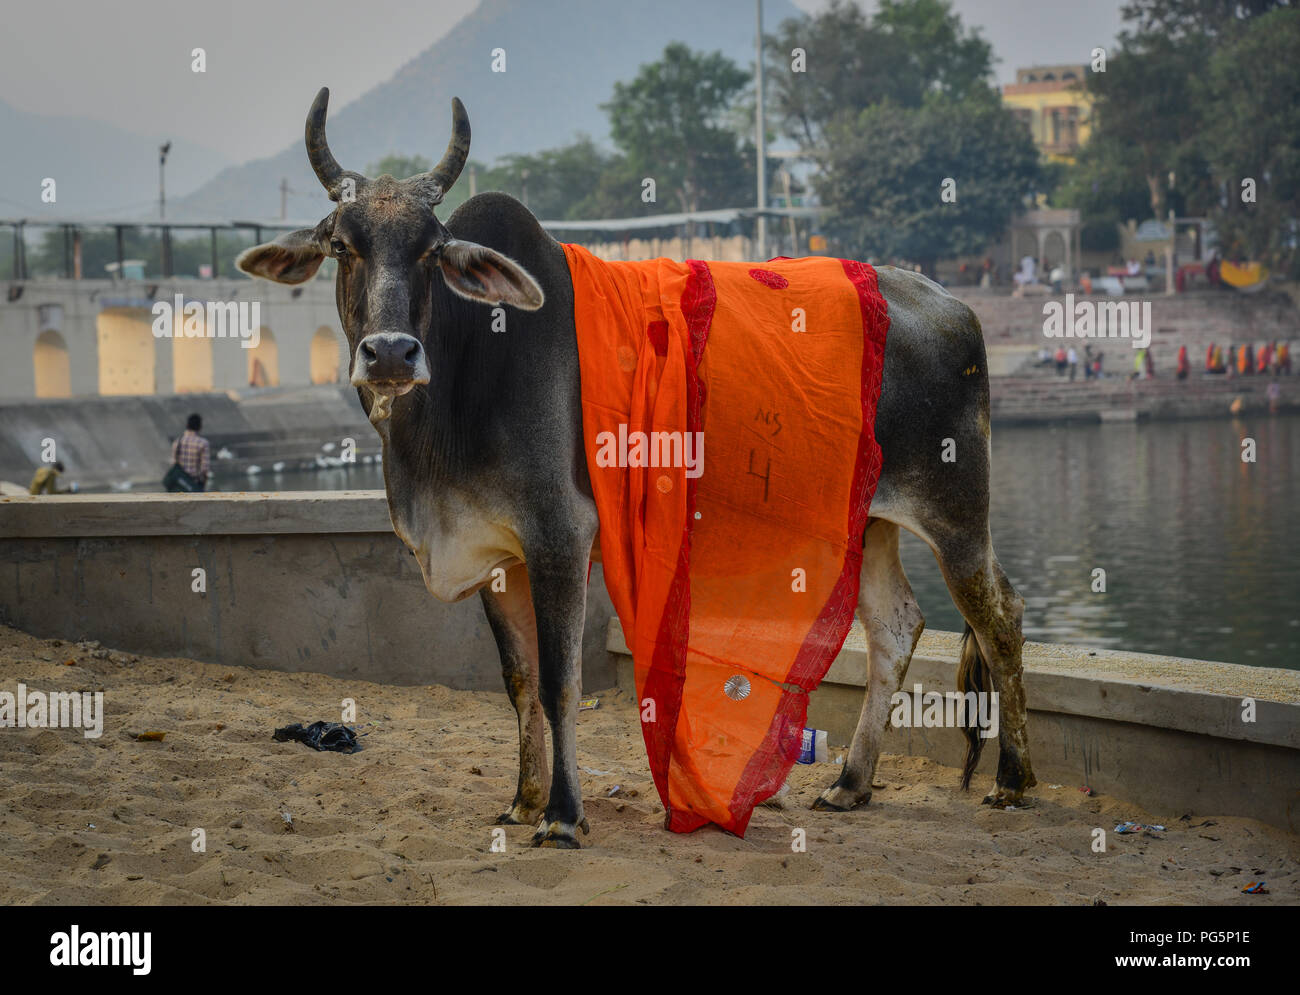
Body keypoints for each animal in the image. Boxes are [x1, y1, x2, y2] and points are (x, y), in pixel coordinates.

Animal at [237, 89, 1034, 848]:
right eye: (341, 245)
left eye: (433, 251)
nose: (391, 353)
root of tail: (954, 303)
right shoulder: (499, 555)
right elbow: (518, 680)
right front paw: (522, 801)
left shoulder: (559, 535)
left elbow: (559, 681)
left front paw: (563, 816)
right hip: (865, 524)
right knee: (897, 627)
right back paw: (851, 782)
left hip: (955, 510)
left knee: (999, 615)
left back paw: (1013, 780)